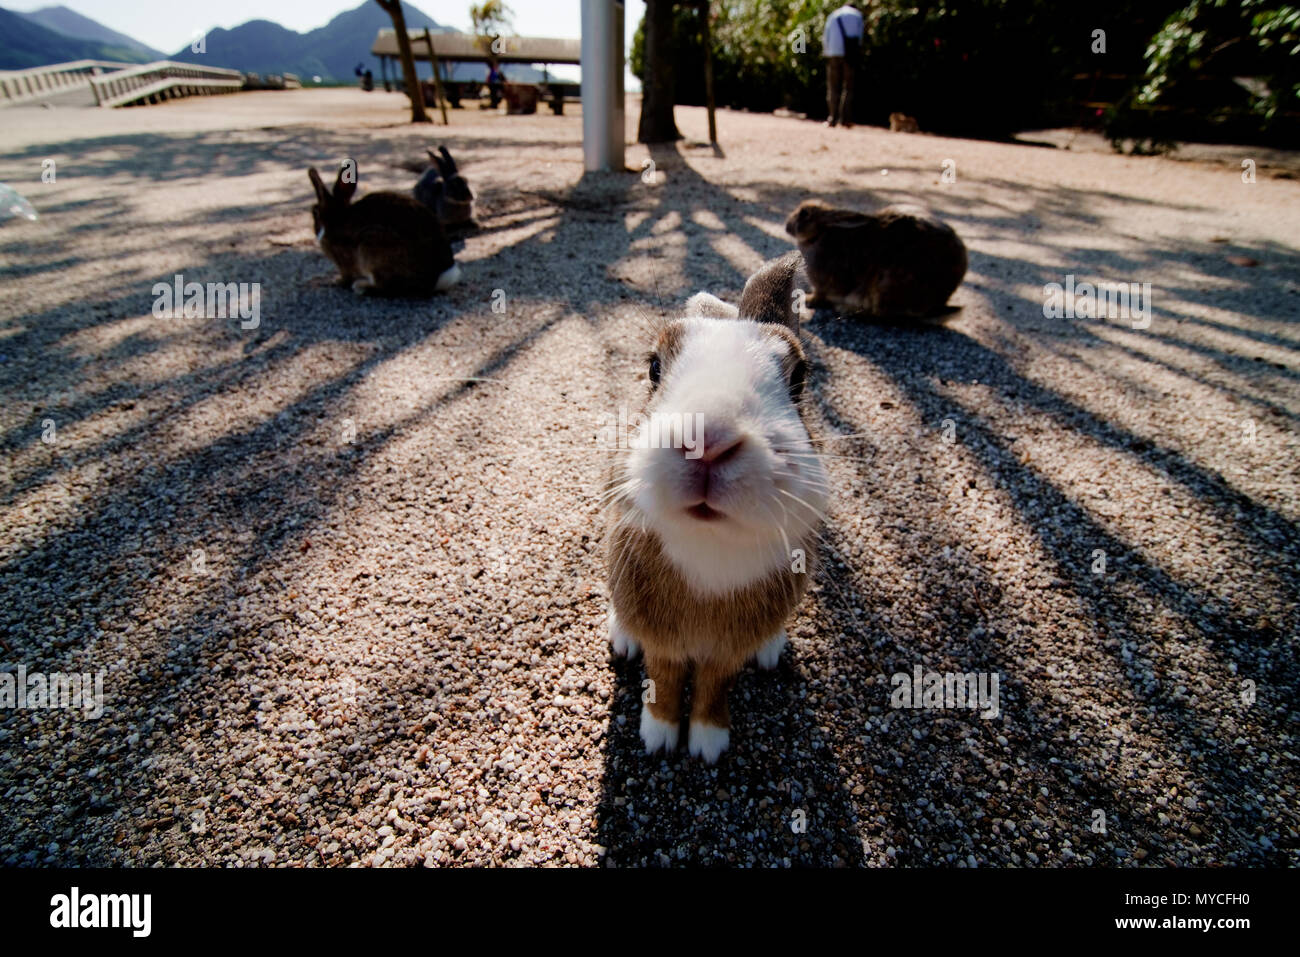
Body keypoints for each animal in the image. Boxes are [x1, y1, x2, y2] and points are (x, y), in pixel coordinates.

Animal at [309, 162, 460, 297]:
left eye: (315, 212)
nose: (316, 230)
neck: (335, 218)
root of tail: (436, 278)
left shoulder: (343, 261)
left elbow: (346, 277)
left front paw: (335, 281)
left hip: (370, 248)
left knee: (385, 286)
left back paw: (361, 286)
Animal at [605, 262, 829, 763]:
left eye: (799, 378)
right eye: (654, 367)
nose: (706, 438)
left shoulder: (729, 650)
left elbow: (714, 686)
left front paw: (708, 742)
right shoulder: (661, 638)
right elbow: (664, 679)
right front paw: (659, 737)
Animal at [784, 199, 966, 318]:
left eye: (804, 213)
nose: (786, 226)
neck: (818, 235)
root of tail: (941, 302)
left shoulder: (823, 283)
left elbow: (820, 294)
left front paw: (809, 300)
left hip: (887, 286)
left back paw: (846, 308)